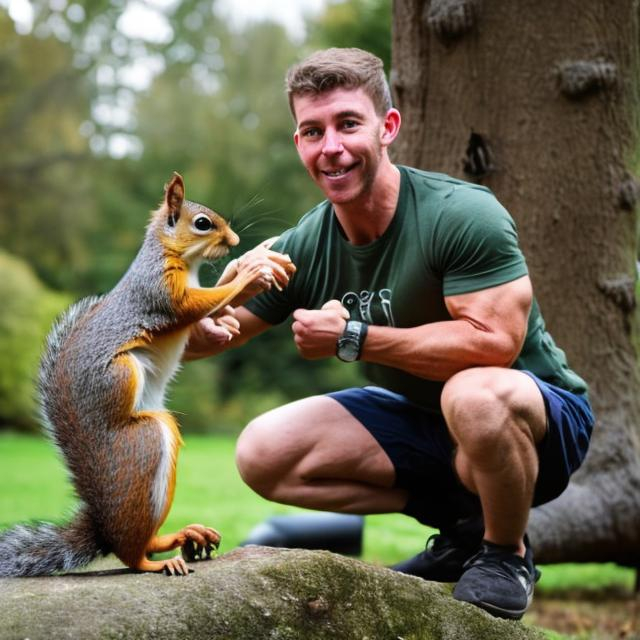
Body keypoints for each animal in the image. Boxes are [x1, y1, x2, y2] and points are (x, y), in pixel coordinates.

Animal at [0, 173, 294, 577]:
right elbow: (195, 303)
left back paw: (185, 535)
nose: (234, 242)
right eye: (202, 223)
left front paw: (243, 273)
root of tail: (104, 527)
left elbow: (213, 302)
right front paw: (250, 272)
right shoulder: (161, 291)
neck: (182, 259)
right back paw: (155, 561)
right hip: (140, 428)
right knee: (131, 554)